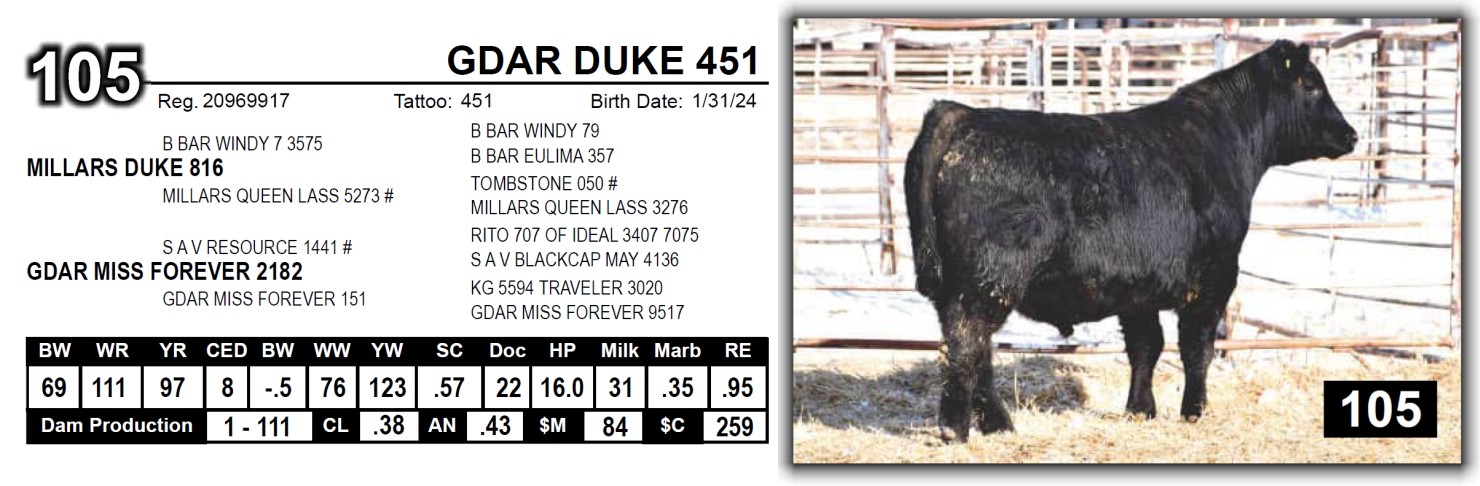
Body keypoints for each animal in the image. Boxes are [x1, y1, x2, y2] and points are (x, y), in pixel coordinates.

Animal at [904, 40, 1357, 442]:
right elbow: (1197, 348)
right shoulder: (1214, 277)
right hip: (988, 282)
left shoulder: (1139, 288)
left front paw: (1140, 410)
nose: (1351, 134)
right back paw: (955, 430)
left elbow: (1146, 347)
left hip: (958, 285)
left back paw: (999, 425)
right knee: (967, 345)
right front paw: (1194, 412)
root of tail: (963, 114)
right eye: (1311, 84)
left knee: (974, 350)